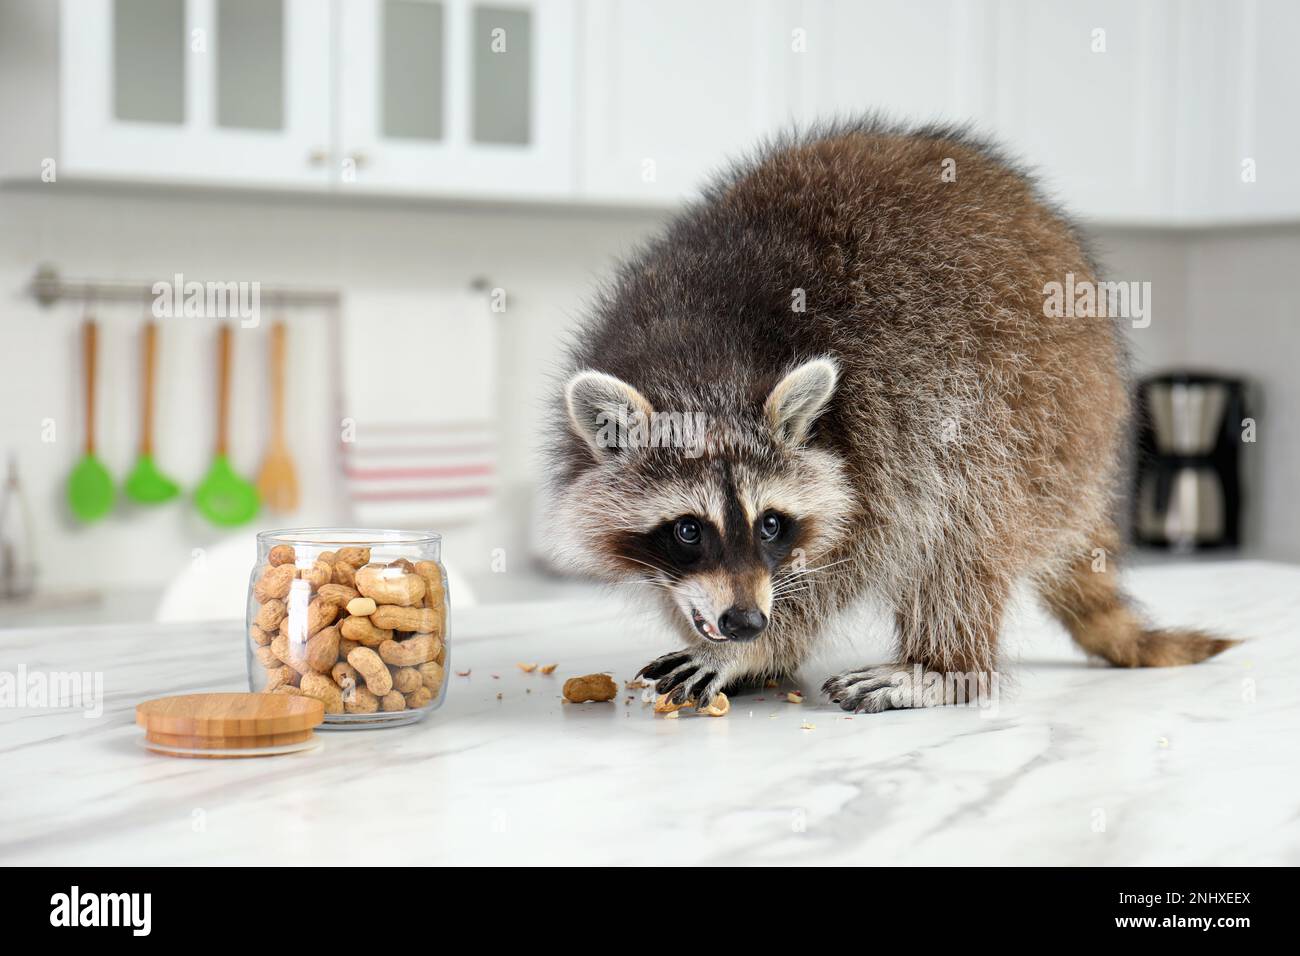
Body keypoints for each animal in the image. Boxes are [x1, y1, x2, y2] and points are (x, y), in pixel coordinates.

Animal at [547, 119, 1236, 713]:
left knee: (962, 518)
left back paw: (943, 667)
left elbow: (849, 559)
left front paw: (758, 648)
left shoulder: (877, 435)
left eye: (771, 525)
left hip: (1041, 416)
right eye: (688, 530)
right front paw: (730, 639)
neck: (705, 364)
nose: (744, 622)